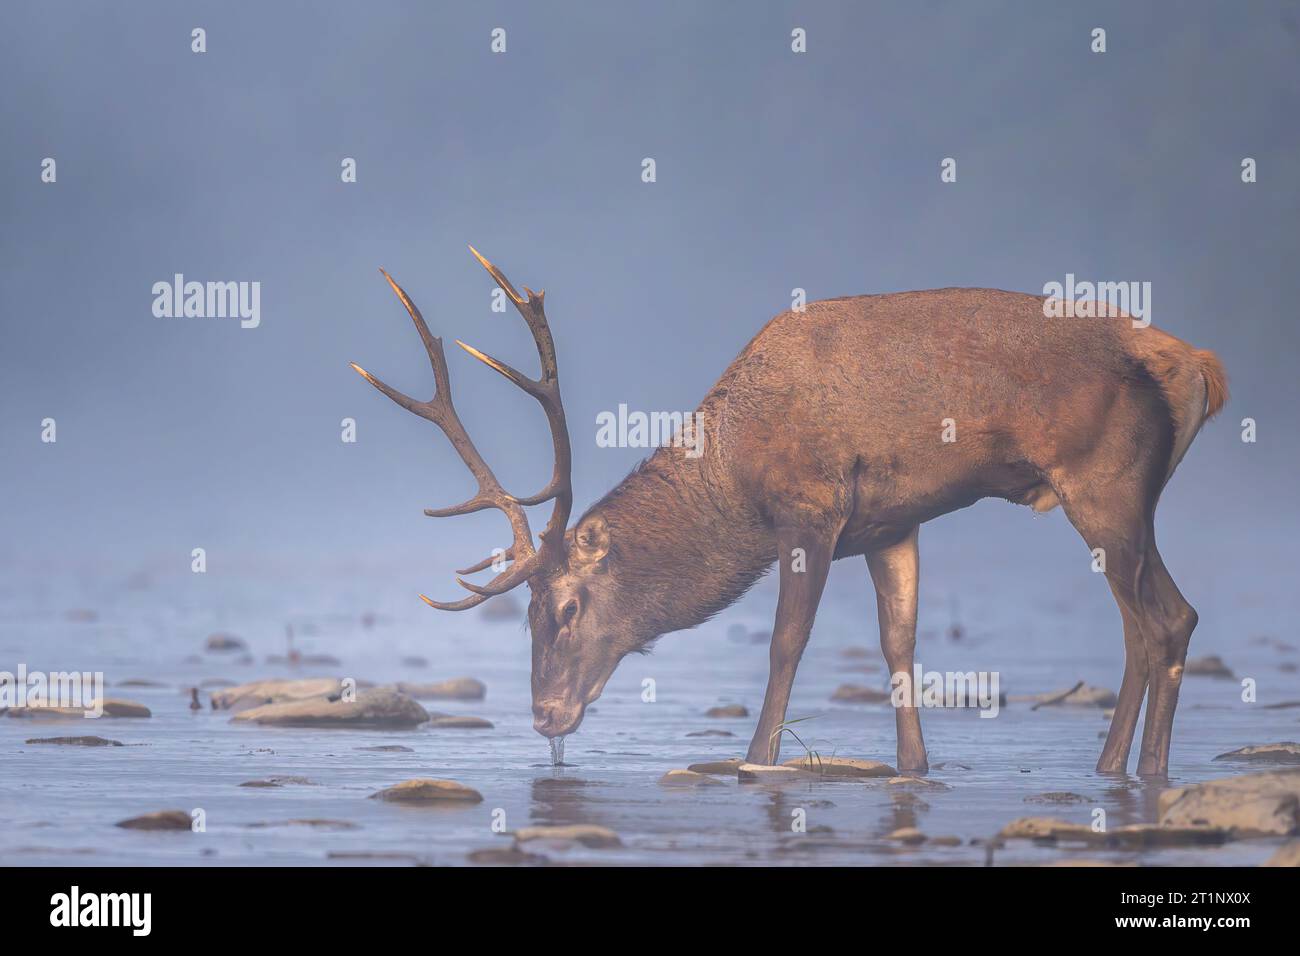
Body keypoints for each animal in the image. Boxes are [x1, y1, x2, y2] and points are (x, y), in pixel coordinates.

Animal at [352, 249, 1227, 778]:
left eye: (565, 608)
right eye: (525, 613)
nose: (544, 718)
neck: (737, 469)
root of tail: (1197, 364)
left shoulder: (810, 509)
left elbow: (786, 645)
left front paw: (756, 758)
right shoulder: (891, 524)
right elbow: (899, 645)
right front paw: (915, 766)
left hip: (1105, 484)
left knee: (1161, 621)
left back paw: (1133, 769)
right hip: (1125, 501)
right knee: (1159, 621)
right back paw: (1121, 769)